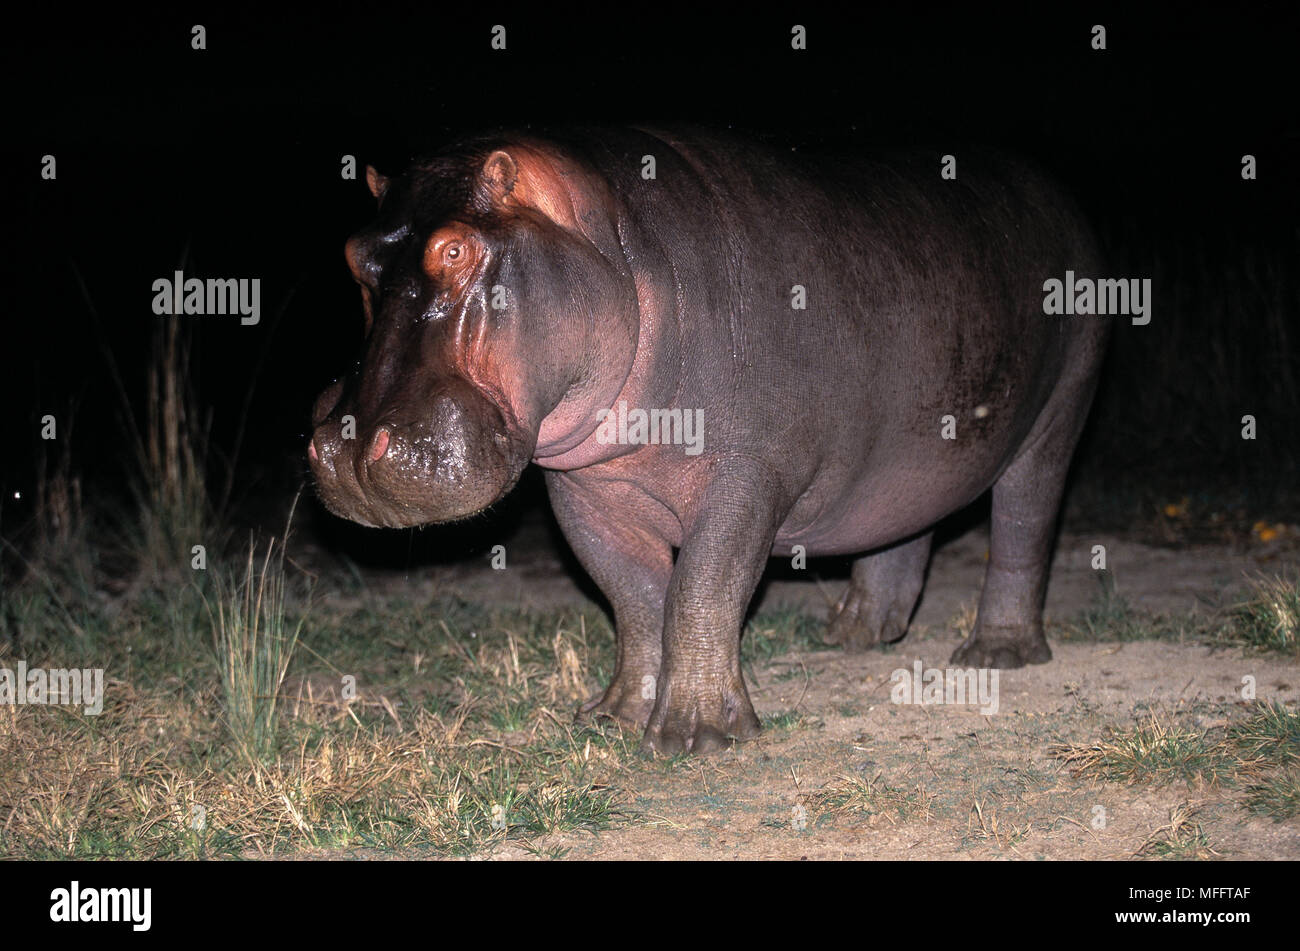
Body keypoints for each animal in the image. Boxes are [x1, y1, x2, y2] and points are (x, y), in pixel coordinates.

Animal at [309, 126, 1109, 754]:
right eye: (351, 255)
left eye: (456, 250)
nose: (346, 448)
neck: (615, 245)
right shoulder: (582, 492)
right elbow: (633, 597)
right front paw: (613, 715)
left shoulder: (746, 474)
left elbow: (703, 587)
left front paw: (697, 738)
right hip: (913, 445)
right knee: (903, 523)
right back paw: (851, 634)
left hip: (1060, 407)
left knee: (1024, 520)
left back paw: (996, 654)